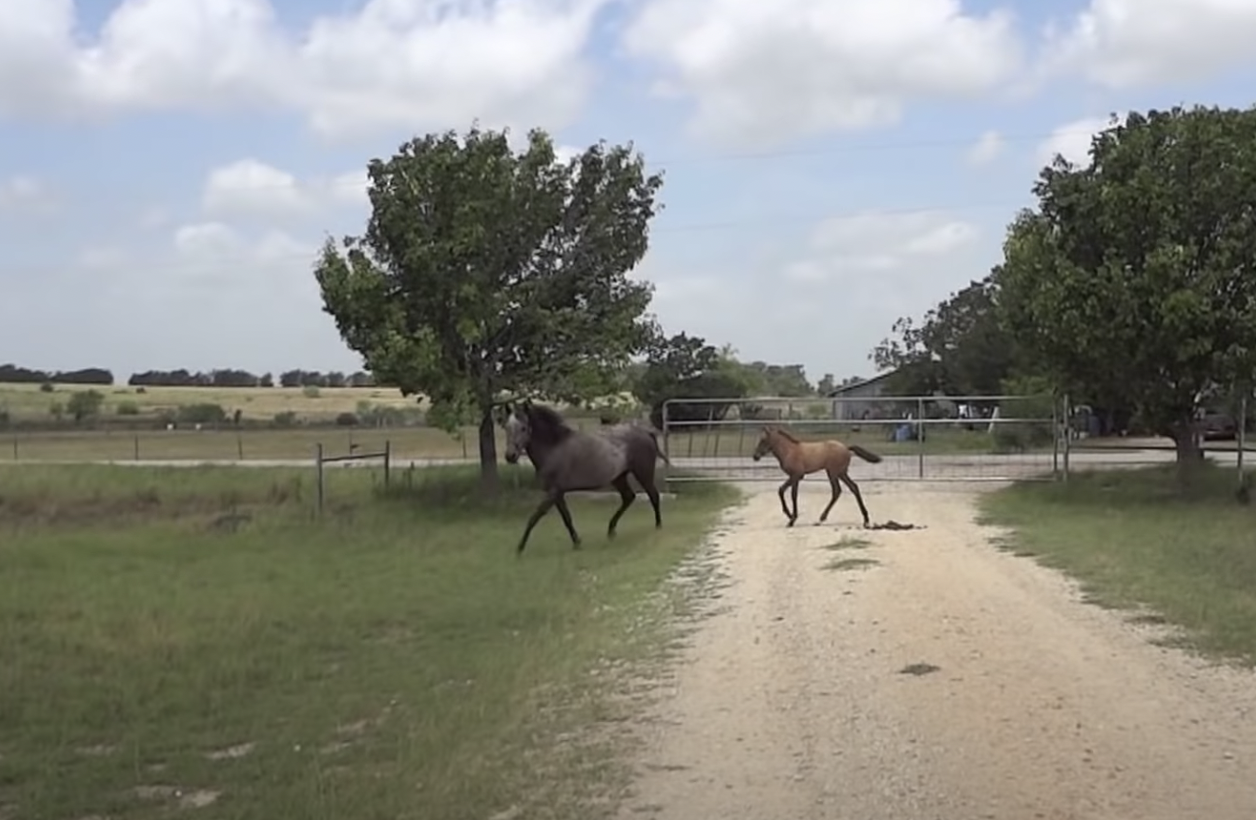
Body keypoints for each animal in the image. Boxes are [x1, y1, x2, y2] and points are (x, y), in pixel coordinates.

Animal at [502, 401, 668, 555]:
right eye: (506, 427)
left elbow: (534, 517)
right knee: (629, 497)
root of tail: (646, 433)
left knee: (653, 495)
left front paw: (519, 549)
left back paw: (658, 526)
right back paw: (611, 530)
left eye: (523, 428)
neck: (554, 448)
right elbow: (566, 518)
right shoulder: (557, 493)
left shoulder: (553, 492)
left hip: (643, 473)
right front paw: (577, 543)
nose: (510, 456)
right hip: (619, 477)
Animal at [751, 425, 881, 528]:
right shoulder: (795, 477)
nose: (755, 456)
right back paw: (865, 520)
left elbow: (792, 494)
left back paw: (821, 519)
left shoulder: (796, 476)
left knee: (837, 490)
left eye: (763, 440)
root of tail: (846, 448)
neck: (789, 451)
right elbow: (782, 490)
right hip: (840, 473)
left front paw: (792, 519)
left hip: (833, 473)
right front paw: (790, 516)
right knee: (852, 487)